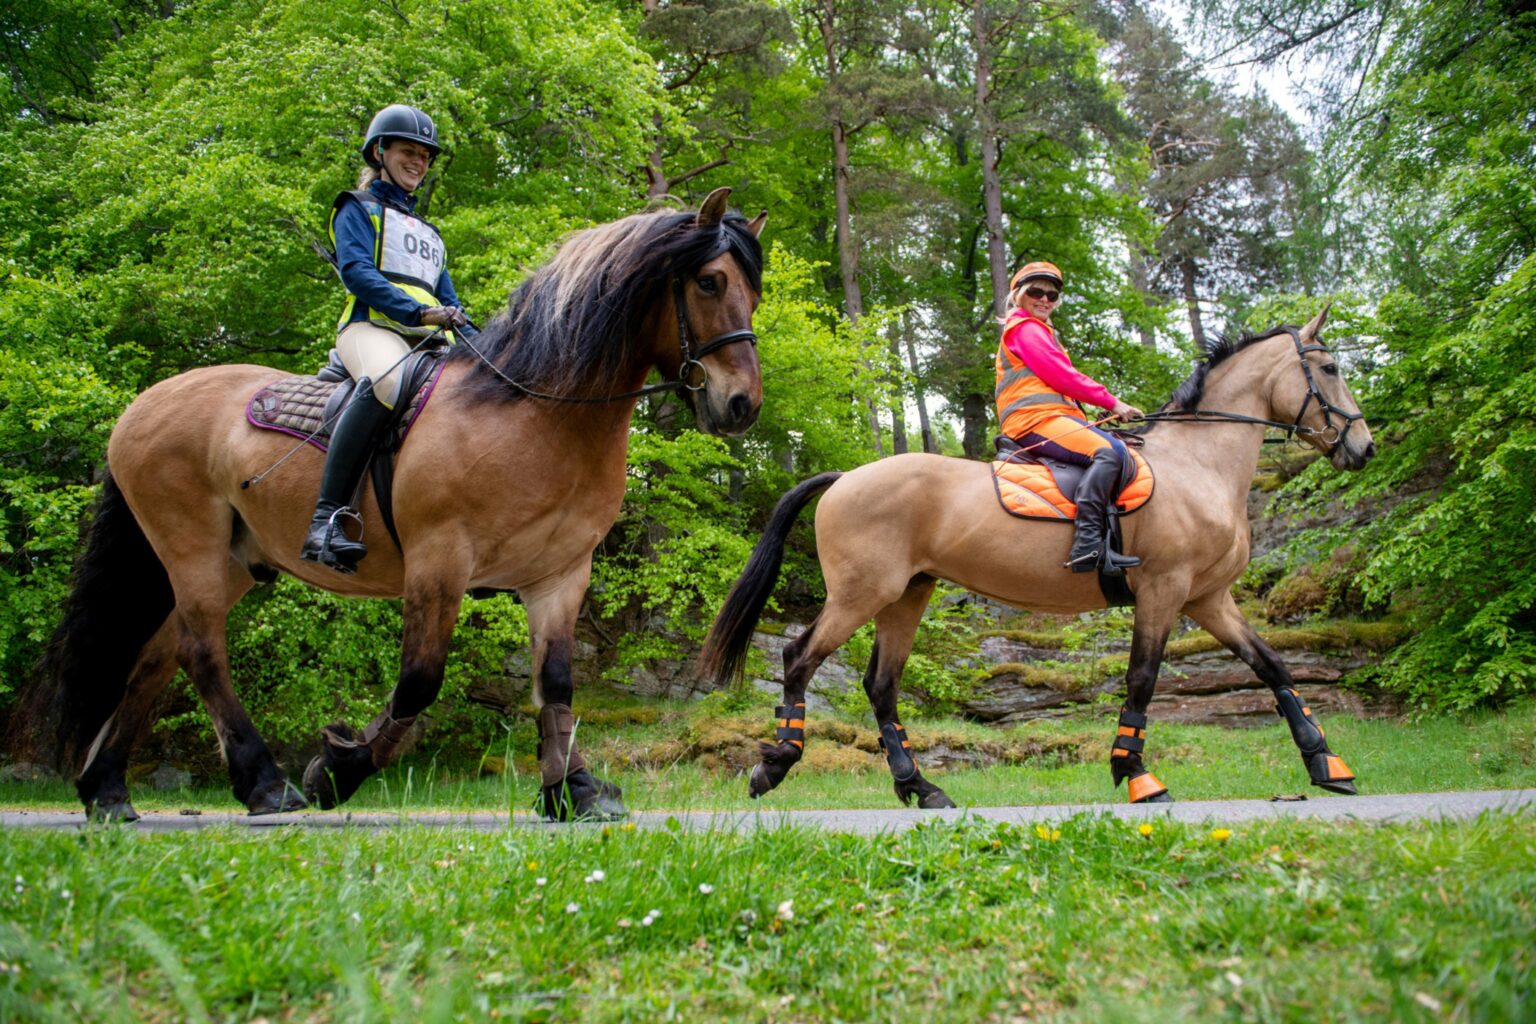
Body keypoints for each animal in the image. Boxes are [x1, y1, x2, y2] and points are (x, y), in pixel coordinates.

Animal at [38, 187, 766, 822]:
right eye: (709, 283)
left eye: (752, 291)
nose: (741, 405)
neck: (536, 414)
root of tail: (141, 406)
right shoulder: (440, 561)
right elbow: (419, 680)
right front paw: (337, 769)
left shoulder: (559, 573)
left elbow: (556, 684)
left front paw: (575, 791)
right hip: (190, 548)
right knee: (200, 651)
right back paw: (267, 783)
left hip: (229, 562)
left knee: (157, 658)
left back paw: (109, 792)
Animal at [701, 307, 1375, 808]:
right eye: (1332, 367)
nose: (1364, 448)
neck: (1196, 464)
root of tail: (845, 478)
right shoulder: (1164, 590)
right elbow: (1143, 677)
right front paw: (1136, 776)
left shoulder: (1208, 598)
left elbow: (1273, 666)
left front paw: (1326, 762)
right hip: (861, 594)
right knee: (799, 659)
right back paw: (775, 765)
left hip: (907, 594)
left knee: (882, 685)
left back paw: (921, 787)